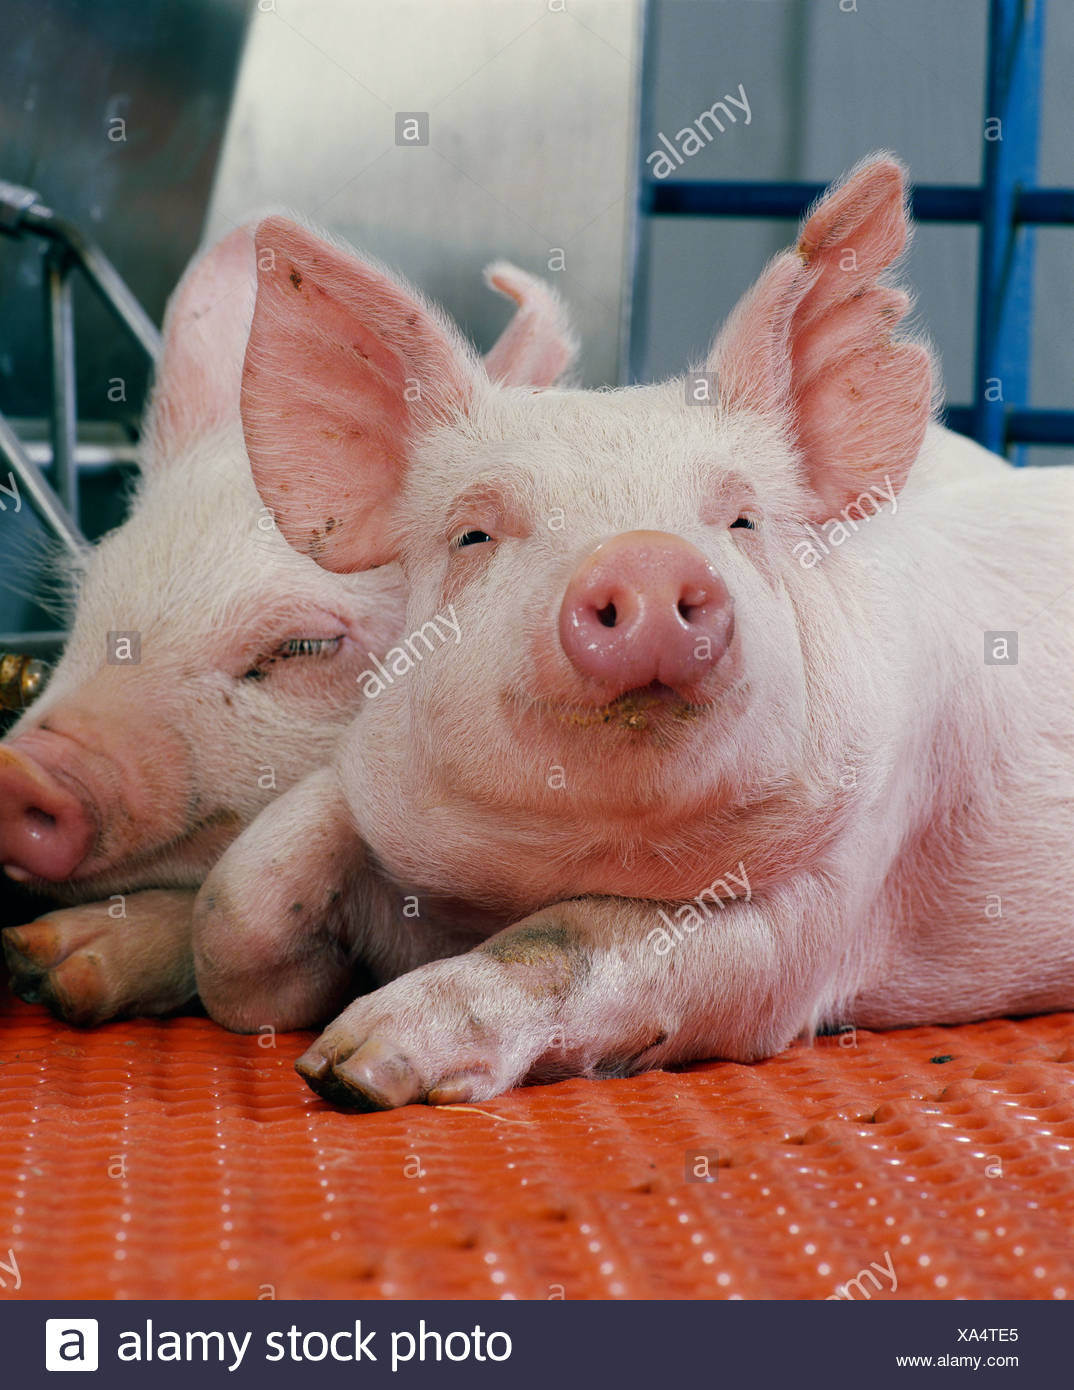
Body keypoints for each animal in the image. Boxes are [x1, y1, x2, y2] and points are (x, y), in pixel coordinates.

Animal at [189, 154, 1073, 1112]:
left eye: (743, 520)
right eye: (474, 534)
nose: (644, 557)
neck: (580, 853)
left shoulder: (837, 889)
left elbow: (577, 939)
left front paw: (352, 1068)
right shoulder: (367, 776)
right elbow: (239, 893)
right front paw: (300, 1007)